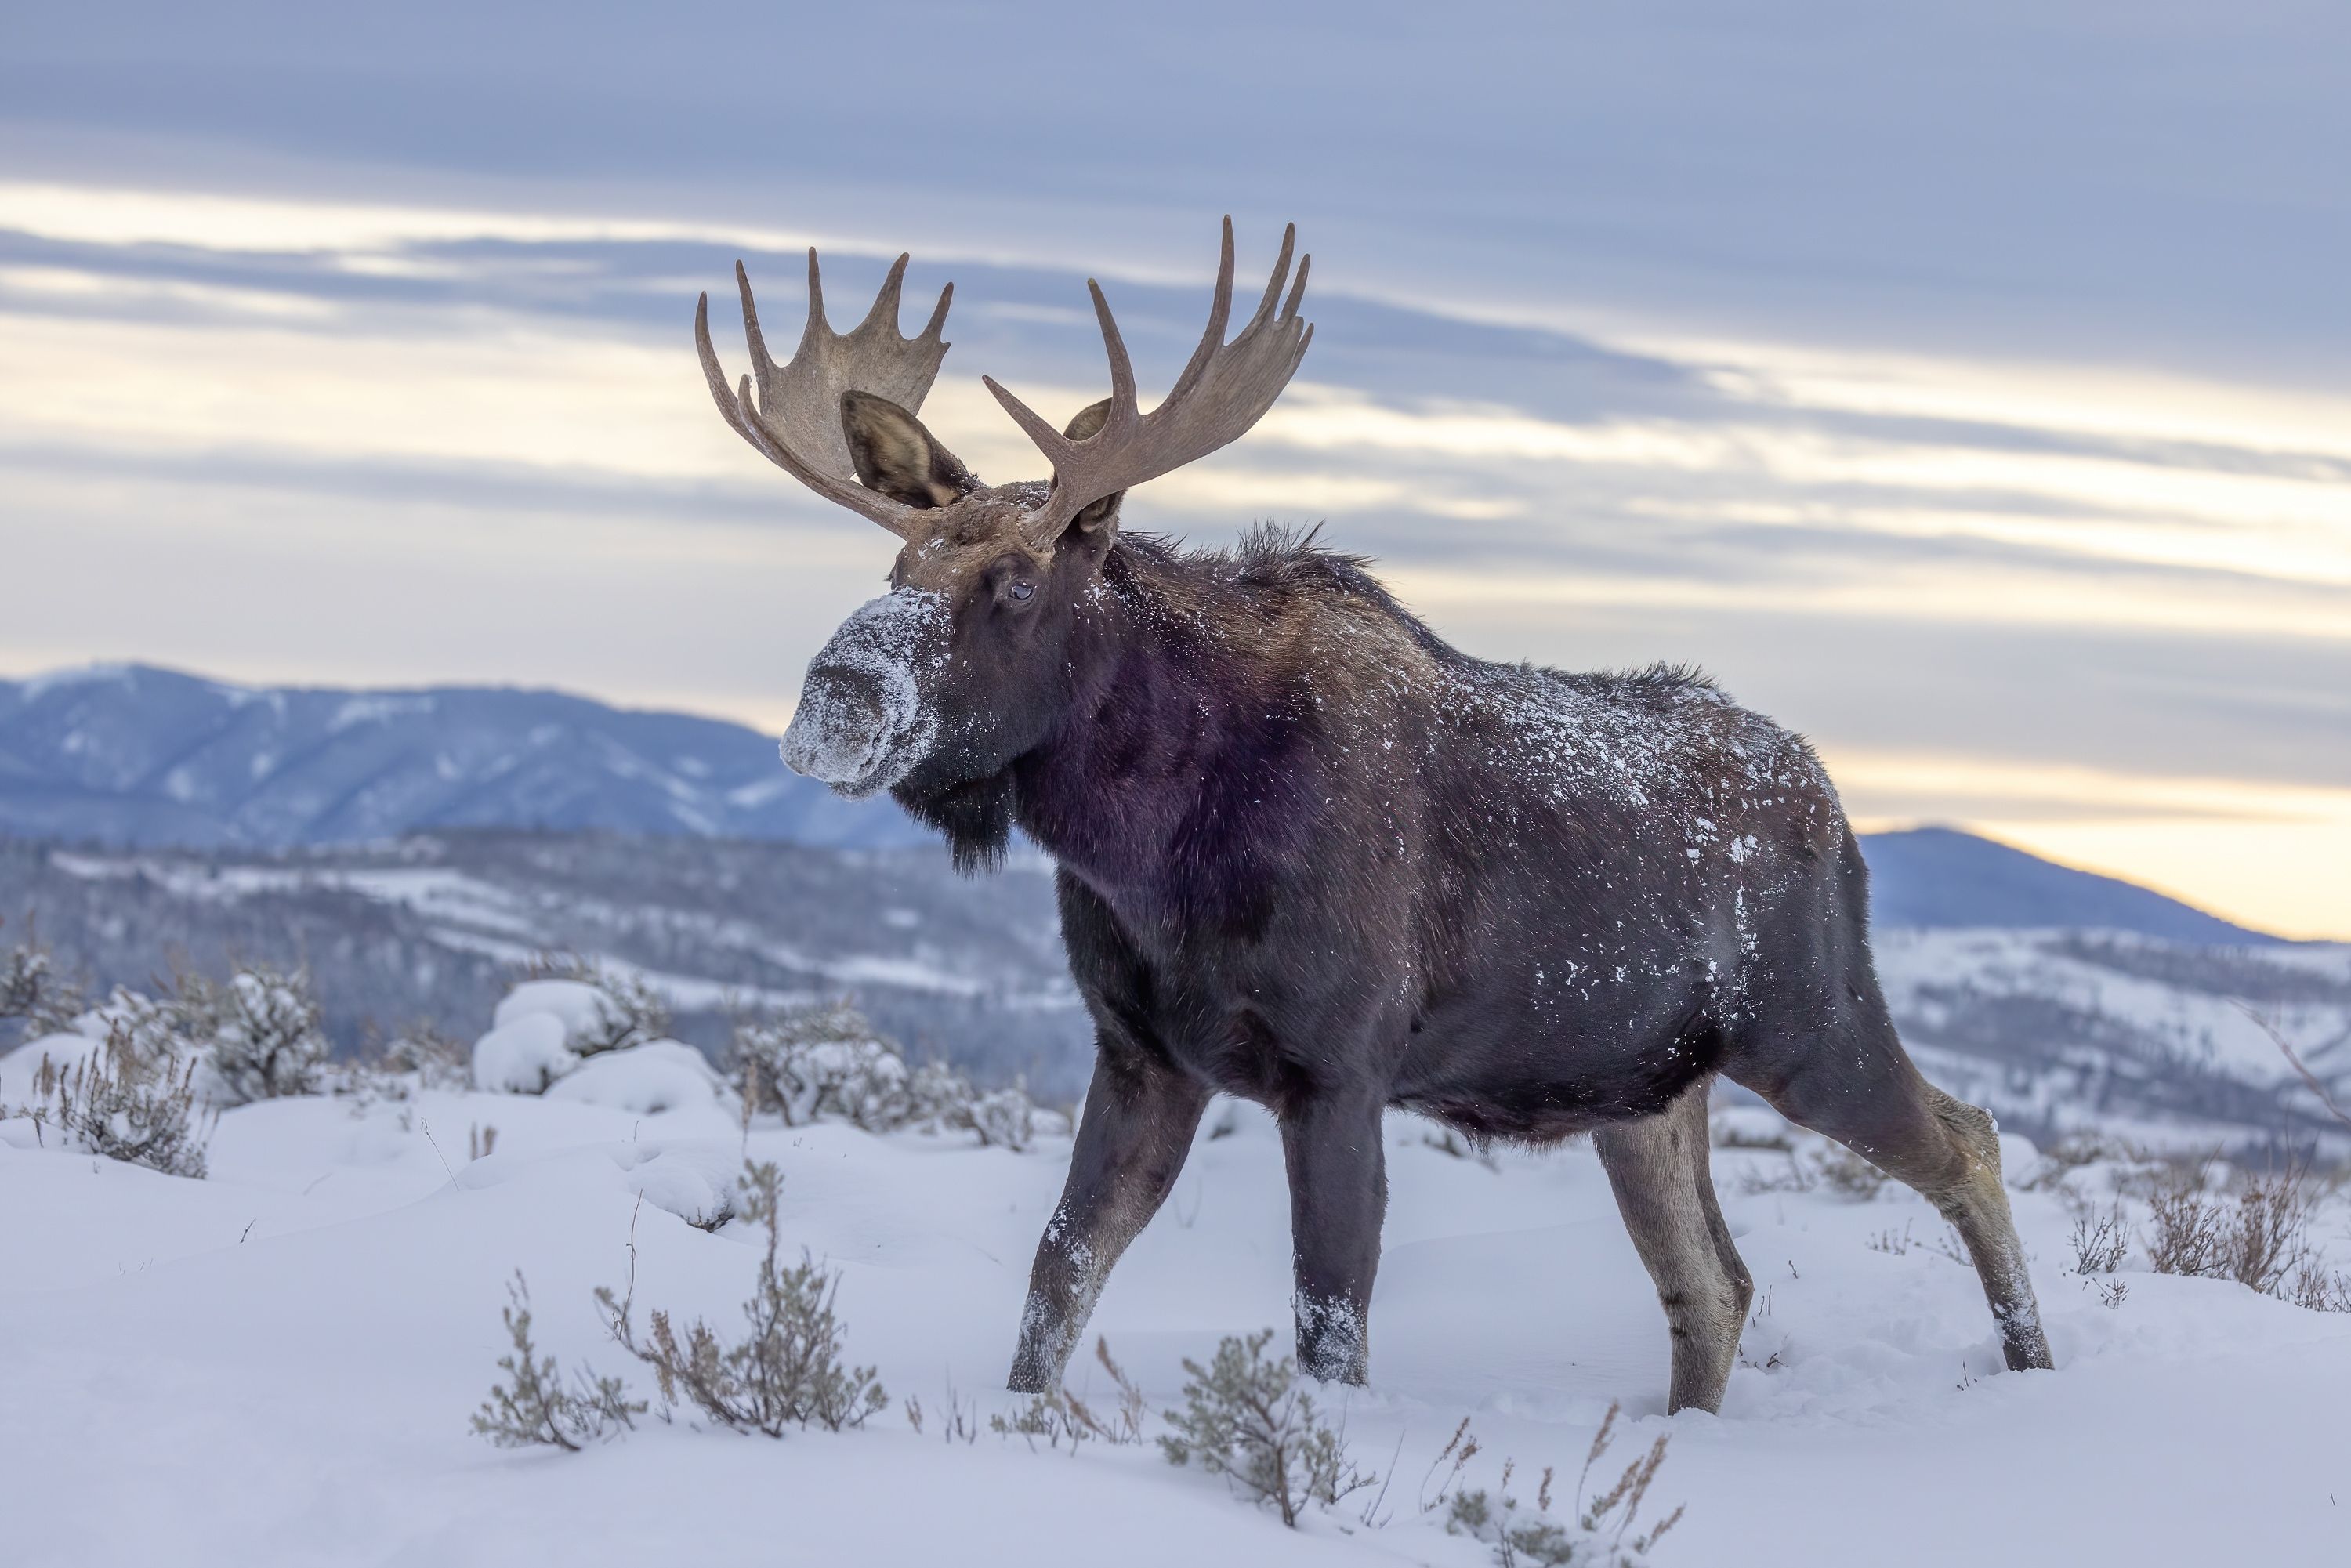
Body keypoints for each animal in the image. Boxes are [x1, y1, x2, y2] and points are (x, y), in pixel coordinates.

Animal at [693, 220, 2053, 1414]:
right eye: (897, 568)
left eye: (1017, 581)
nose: (834, 698)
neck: (1151, 844)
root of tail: (1836, 810)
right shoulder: (1142, 1052)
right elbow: (1058, 1274)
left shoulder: (1339, 1069)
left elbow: (1328, 1321)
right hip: (1647, 1090)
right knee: (1714, 1284)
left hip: (1812, 1023)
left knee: (1970, 1140)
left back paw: (2035, 1374)